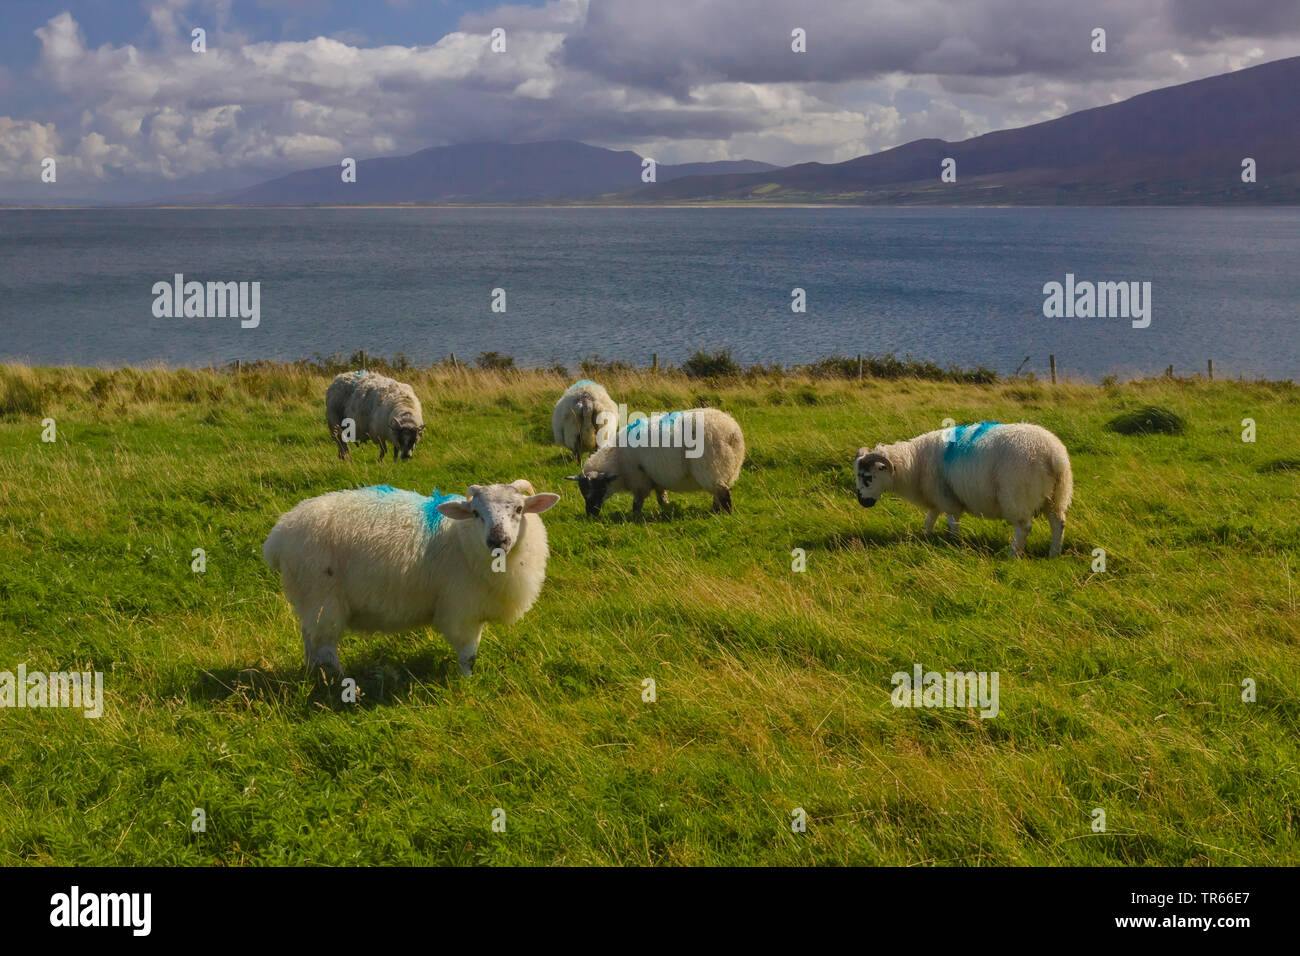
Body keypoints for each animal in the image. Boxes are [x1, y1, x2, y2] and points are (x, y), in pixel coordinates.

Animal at [262, 480, 559, 676]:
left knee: (309, 639)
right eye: (475, 513)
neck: (462, 539)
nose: (498, 540)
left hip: (310, 600)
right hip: (323, 597)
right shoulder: (461, 608)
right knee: (324, 645)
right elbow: (469, 655)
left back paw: (313, 674)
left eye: (519, 509)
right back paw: (340, 679)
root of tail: (280, 533)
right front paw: (467, 684)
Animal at [567, 408, 745, 517]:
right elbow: (661, 497)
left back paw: (725, 514)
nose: (591, 514)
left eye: (598, 488)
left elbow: (637, 503)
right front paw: (668, 508)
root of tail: (731, 433)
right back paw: (715, 511)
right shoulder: (655, 478)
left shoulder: (639, 480)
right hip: (724, 468)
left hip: (711, 467)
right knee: (719, 492)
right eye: (583, 491)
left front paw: (636, 517)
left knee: (723, 493)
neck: (617, 460)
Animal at [854, 422, 1073, 557]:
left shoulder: (947, 499)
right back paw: (1054, 554)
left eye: (867, 477)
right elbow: (930, 519)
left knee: (1023, 527)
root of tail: (1054, 455)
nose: (862, 502)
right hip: (1057, 495)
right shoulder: (936, 498)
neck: (915, 462)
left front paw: (955, 543)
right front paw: (927, 536)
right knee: (1058, 523)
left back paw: (1013, 555)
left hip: (1017, 495)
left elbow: (952, 522)